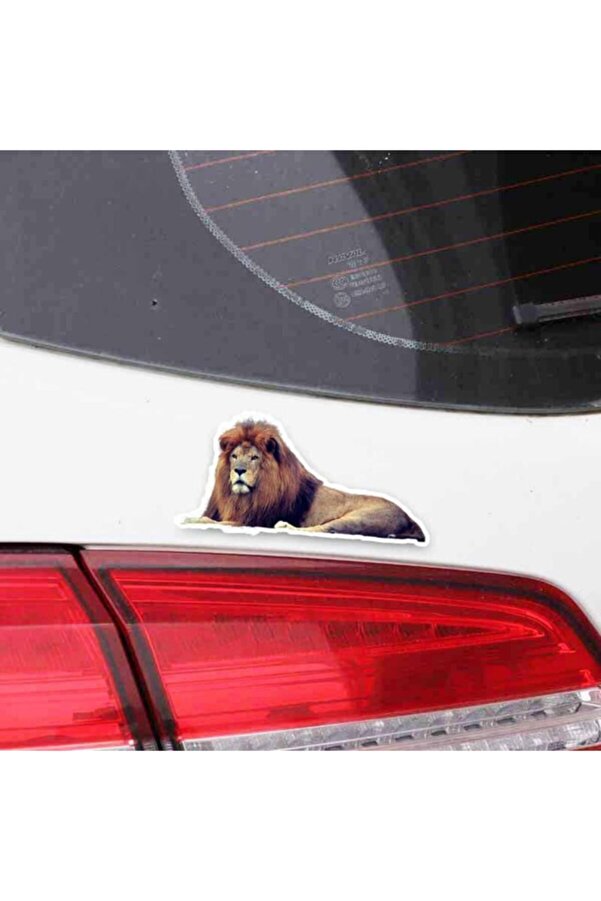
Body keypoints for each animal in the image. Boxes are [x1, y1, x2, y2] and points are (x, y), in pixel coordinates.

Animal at [182, 419, 426, 543]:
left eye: (254, 458)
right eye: (234, 456)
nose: (239, 470)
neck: (245, 497)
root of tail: (410, 518)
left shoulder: (254, 520)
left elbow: (212, 521)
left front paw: (190, 520)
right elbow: (210, 518)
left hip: (360, 518)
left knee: (325, 529)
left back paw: (285, 526)